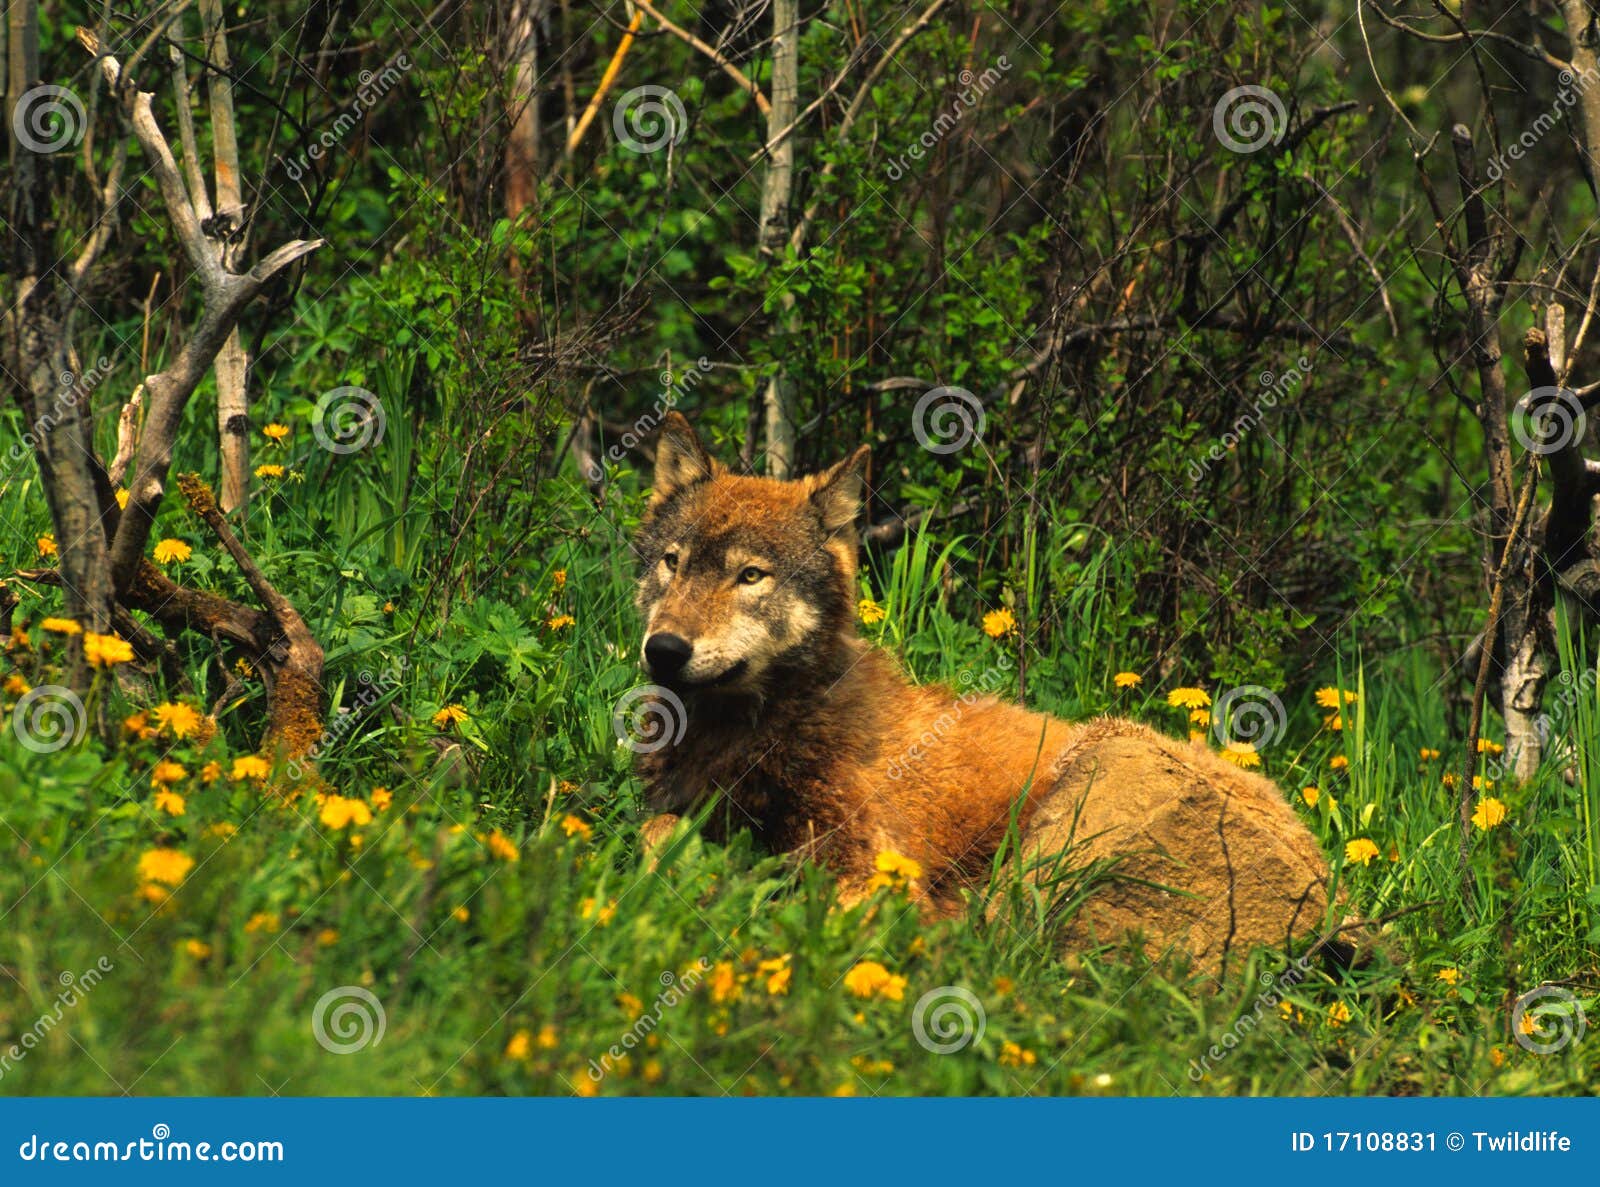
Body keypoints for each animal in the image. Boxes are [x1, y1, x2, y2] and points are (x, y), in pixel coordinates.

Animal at [631, 413, 1332, 966]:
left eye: (750, 576)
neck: (760, 728)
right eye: (673, 562)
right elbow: (658, 833)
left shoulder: (874, 868)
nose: (663, 650)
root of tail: (1327, 893)